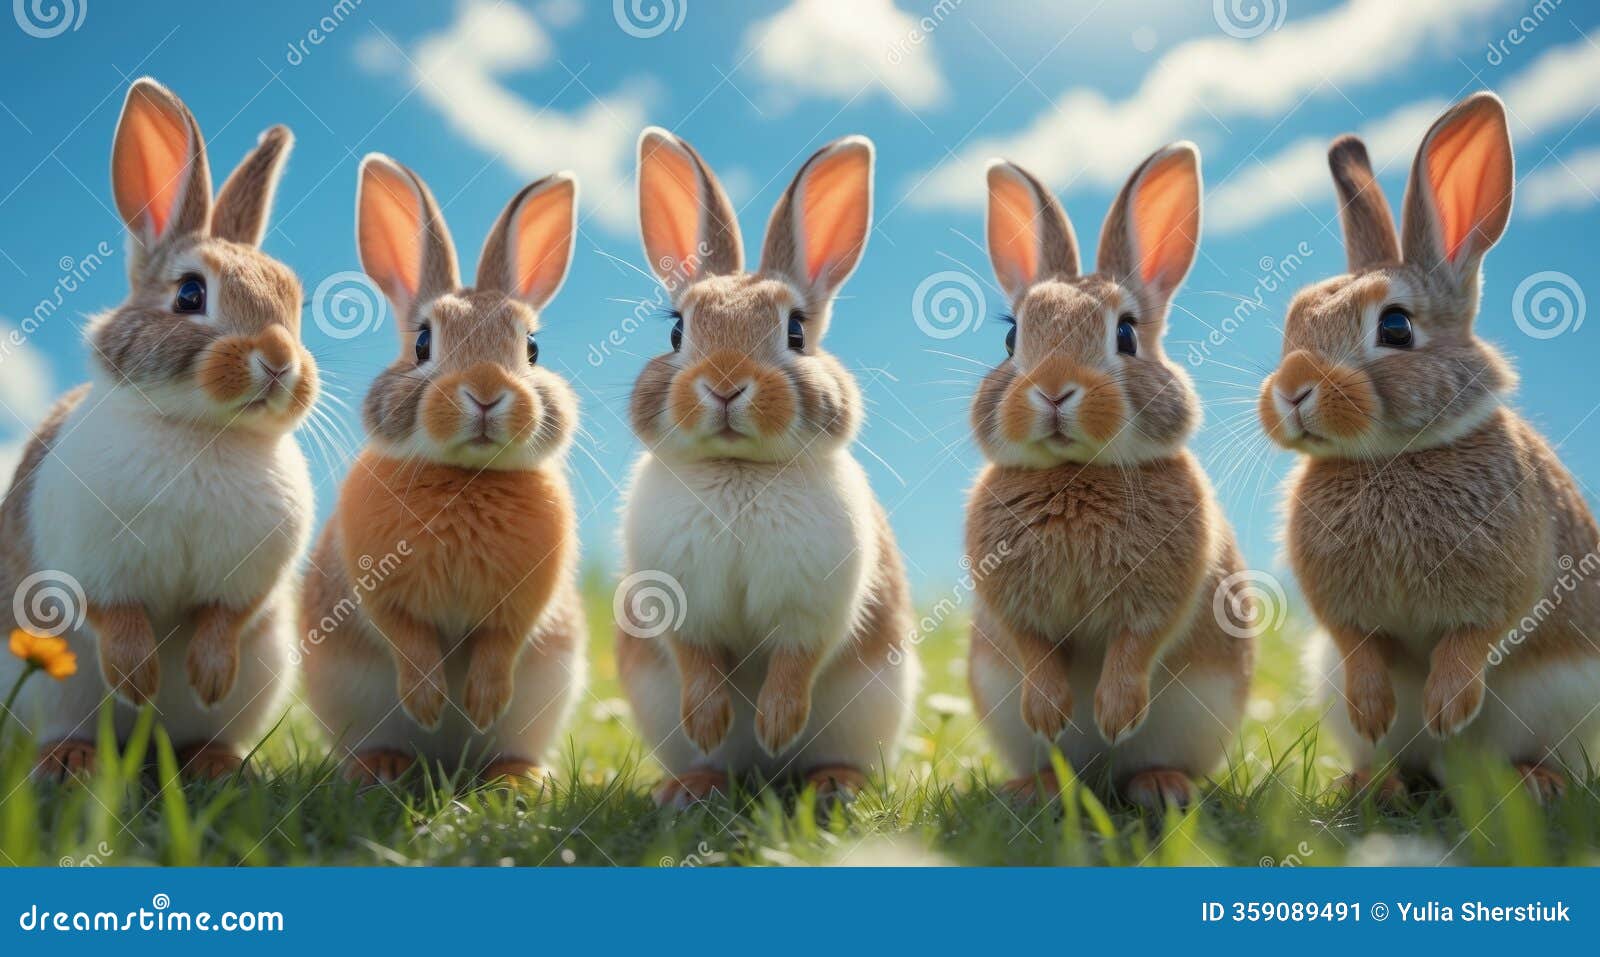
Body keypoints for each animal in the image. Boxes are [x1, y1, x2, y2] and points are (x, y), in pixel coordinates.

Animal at [0, 77, 316, 780]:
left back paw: (214, 762)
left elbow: (224, 618)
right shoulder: (89, 563)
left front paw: (207, 675)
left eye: (295, 303)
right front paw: (137, 680)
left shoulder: (249, 580)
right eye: (190, 295)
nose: (278, 361)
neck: (201, 430)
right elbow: (115, 614)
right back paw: (74, 758)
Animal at [300, 155, 586, 786]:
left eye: (531, 348)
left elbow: (503, 641)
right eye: (423, 343)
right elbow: (406, 638)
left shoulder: (527, 599)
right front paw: (431, 703)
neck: (466, 476)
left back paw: (514, 778)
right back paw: (383, 766)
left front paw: (480, 704)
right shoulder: (378, 591)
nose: (484, 393)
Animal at [614, 128, 919, 807]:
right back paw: (693, 786)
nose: (726, 385)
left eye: (797, 331)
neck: (739, 470)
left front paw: (776, 725)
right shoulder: (677, 601)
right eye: (677, 331)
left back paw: (829, 783)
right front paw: (710, 723)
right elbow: (696, 658)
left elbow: (796, 658)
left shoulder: (815, 604)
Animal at [965, 147, 1256, 811]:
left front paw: (1116, 714)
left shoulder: (1167, 592)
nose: (1053, 390)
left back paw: (1160, 785)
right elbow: (1032, 648)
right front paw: (1050, 712)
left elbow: (1138, 642)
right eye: (1011, 336)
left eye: (1125, 334)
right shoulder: (1008, 603)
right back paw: (1039, 787)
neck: (1075, 474)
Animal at [1259, 92, 1600, 803]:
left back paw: (1531, 779)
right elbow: (1356, 642)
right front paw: (1373, 707)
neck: (1391, 455)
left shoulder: (1515, 582)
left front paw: (1448, 707)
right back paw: (1371, 783)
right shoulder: (1337, 614)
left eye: (1395, 327)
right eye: (1294, 324)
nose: (1293, 391)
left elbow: (1480, 636)